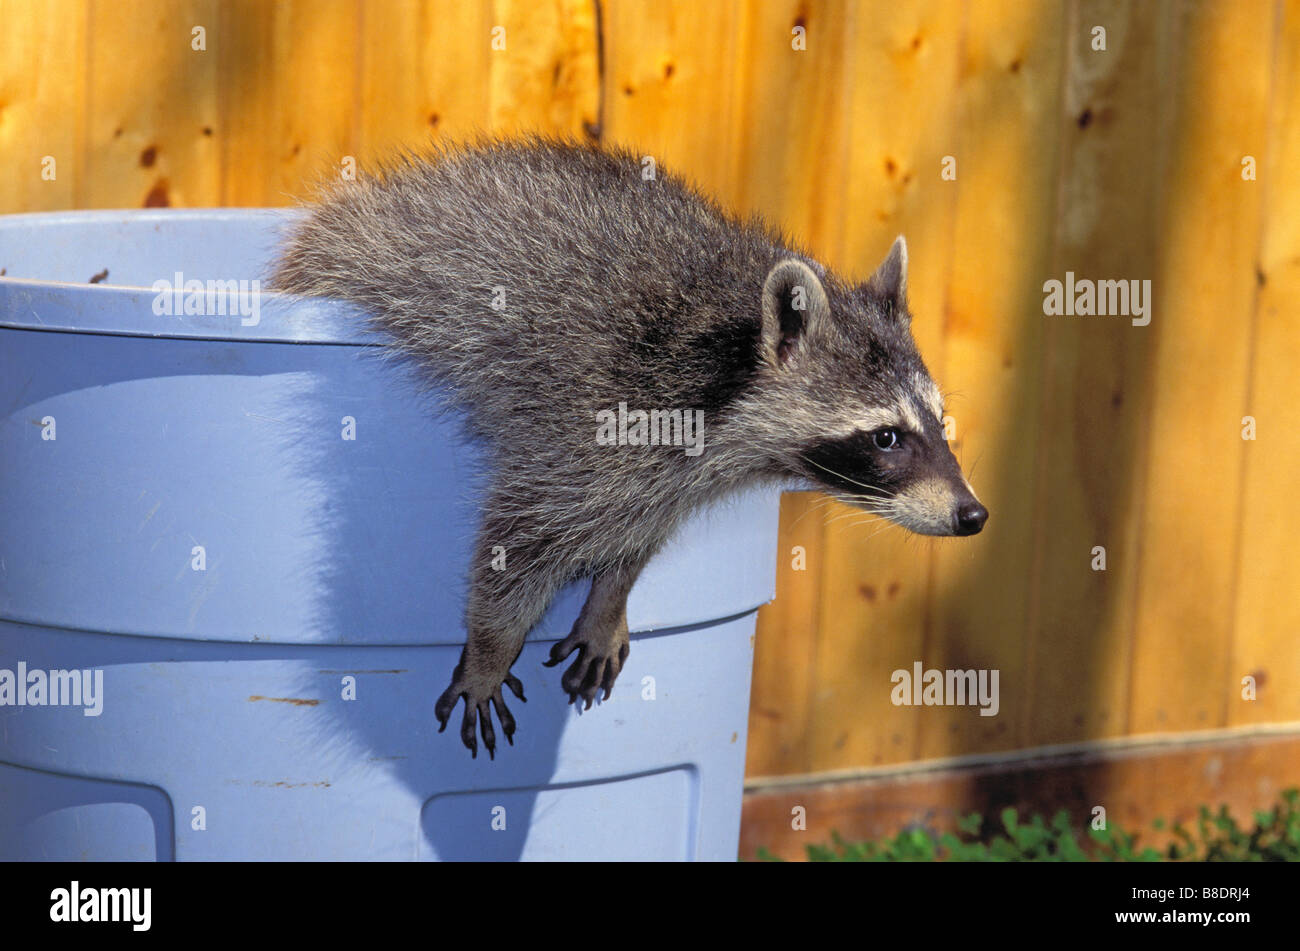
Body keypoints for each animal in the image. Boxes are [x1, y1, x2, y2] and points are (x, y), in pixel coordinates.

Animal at [271, 136, 987, 758]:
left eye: (941, 422)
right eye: (886, 437)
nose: (973, 515)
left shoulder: (664, 466)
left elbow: (639, 525)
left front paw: (614, 590)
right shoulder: (590, 421)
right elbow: (518, 543)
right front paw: (491, 646)